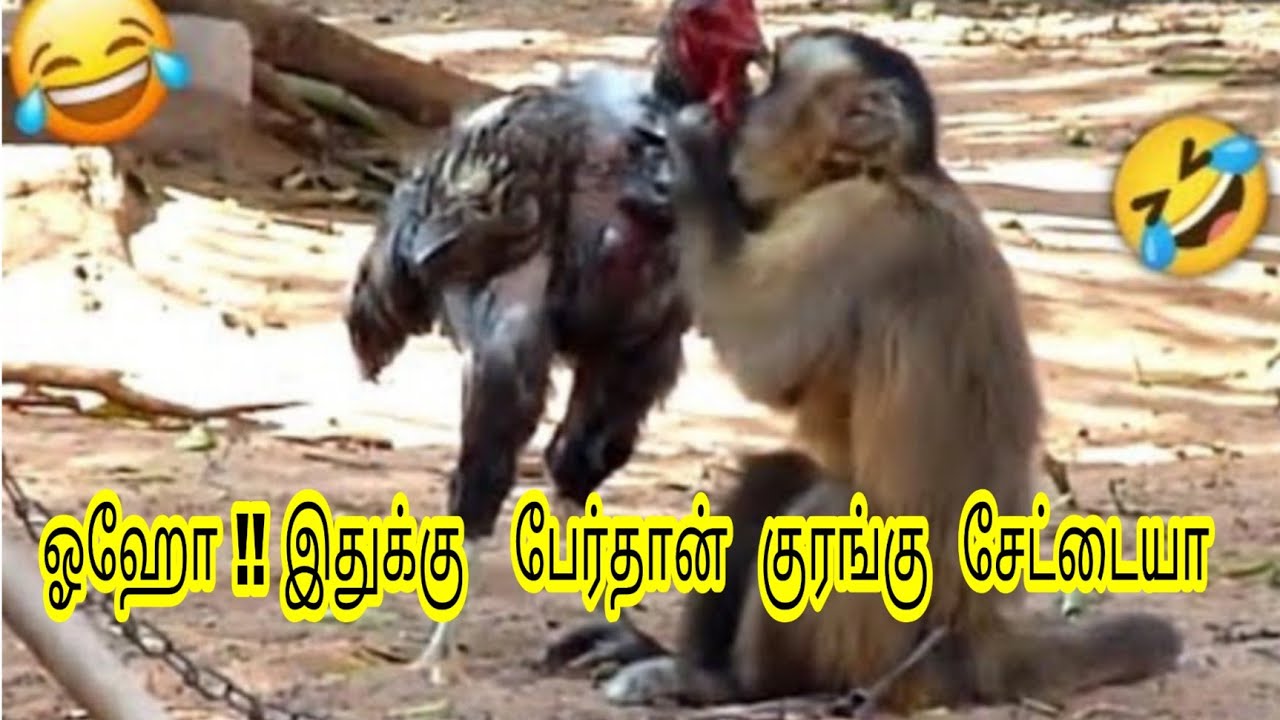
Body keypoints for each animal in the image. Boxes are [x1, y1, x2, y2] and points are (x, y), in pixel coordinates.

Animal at [544, 28, 1185, 713]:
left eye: (769, 81)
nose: (737, 106)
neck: (883, 175)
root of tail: (977, 645)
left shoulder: (855, 225)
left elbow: (765, 360)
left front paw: (694, 154)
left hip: (887, 646)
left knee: (823, 512)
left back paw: (734, 684)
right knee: (781, 474)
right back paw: (693, 665)